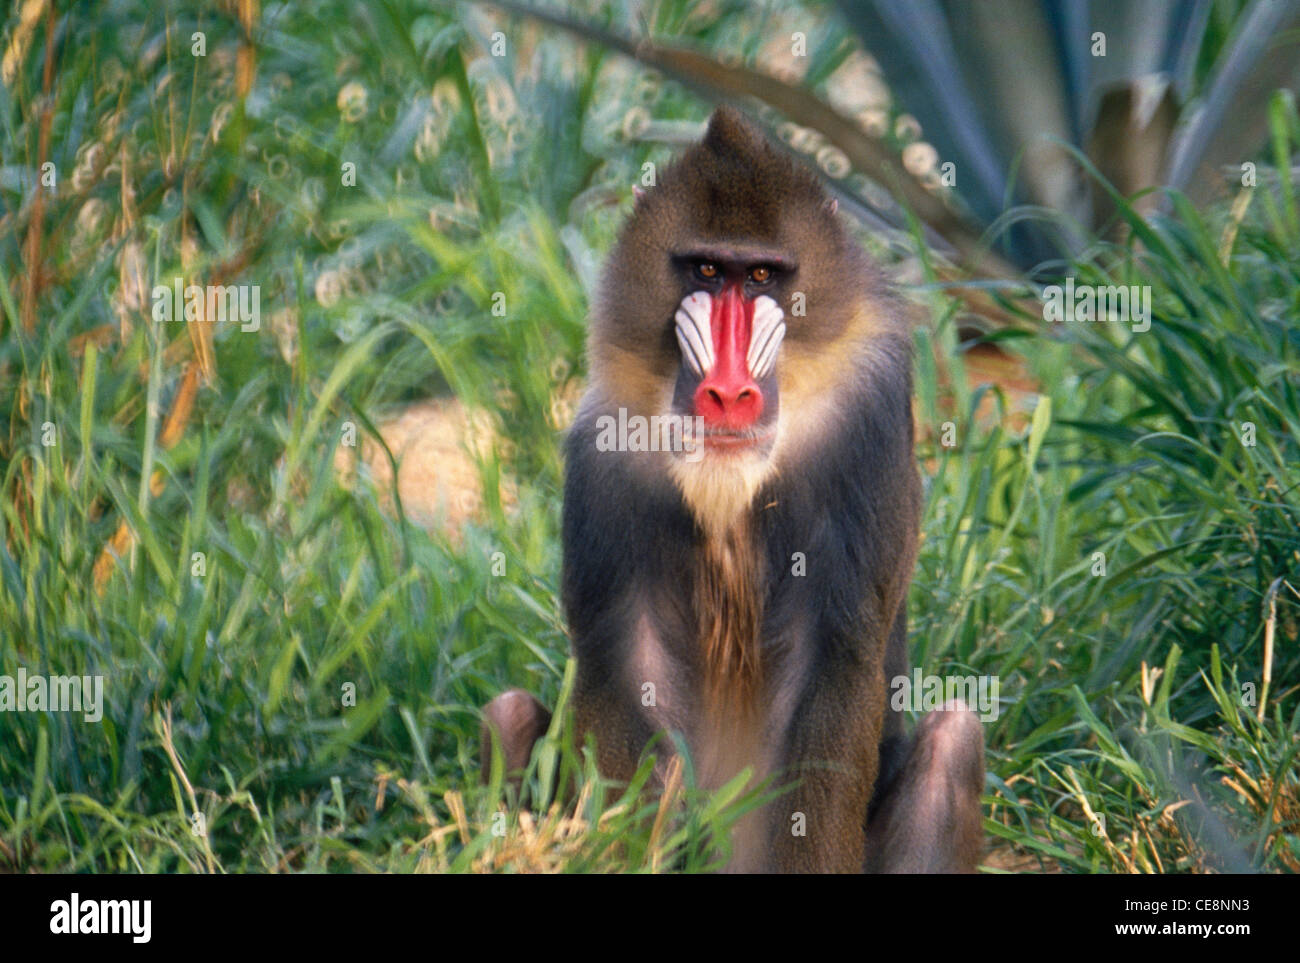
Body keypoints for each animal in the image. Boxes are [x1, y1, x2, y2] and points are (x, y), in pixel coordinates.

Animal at [482, 105, 984, 873]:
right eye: (709, 270)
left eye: (763, 277)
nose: (726, 394)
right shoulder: (602, 460)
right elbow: (630, 673)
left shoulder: (865, 427)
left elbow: (833, 668)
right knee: (507, 714)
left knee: (953, 739)